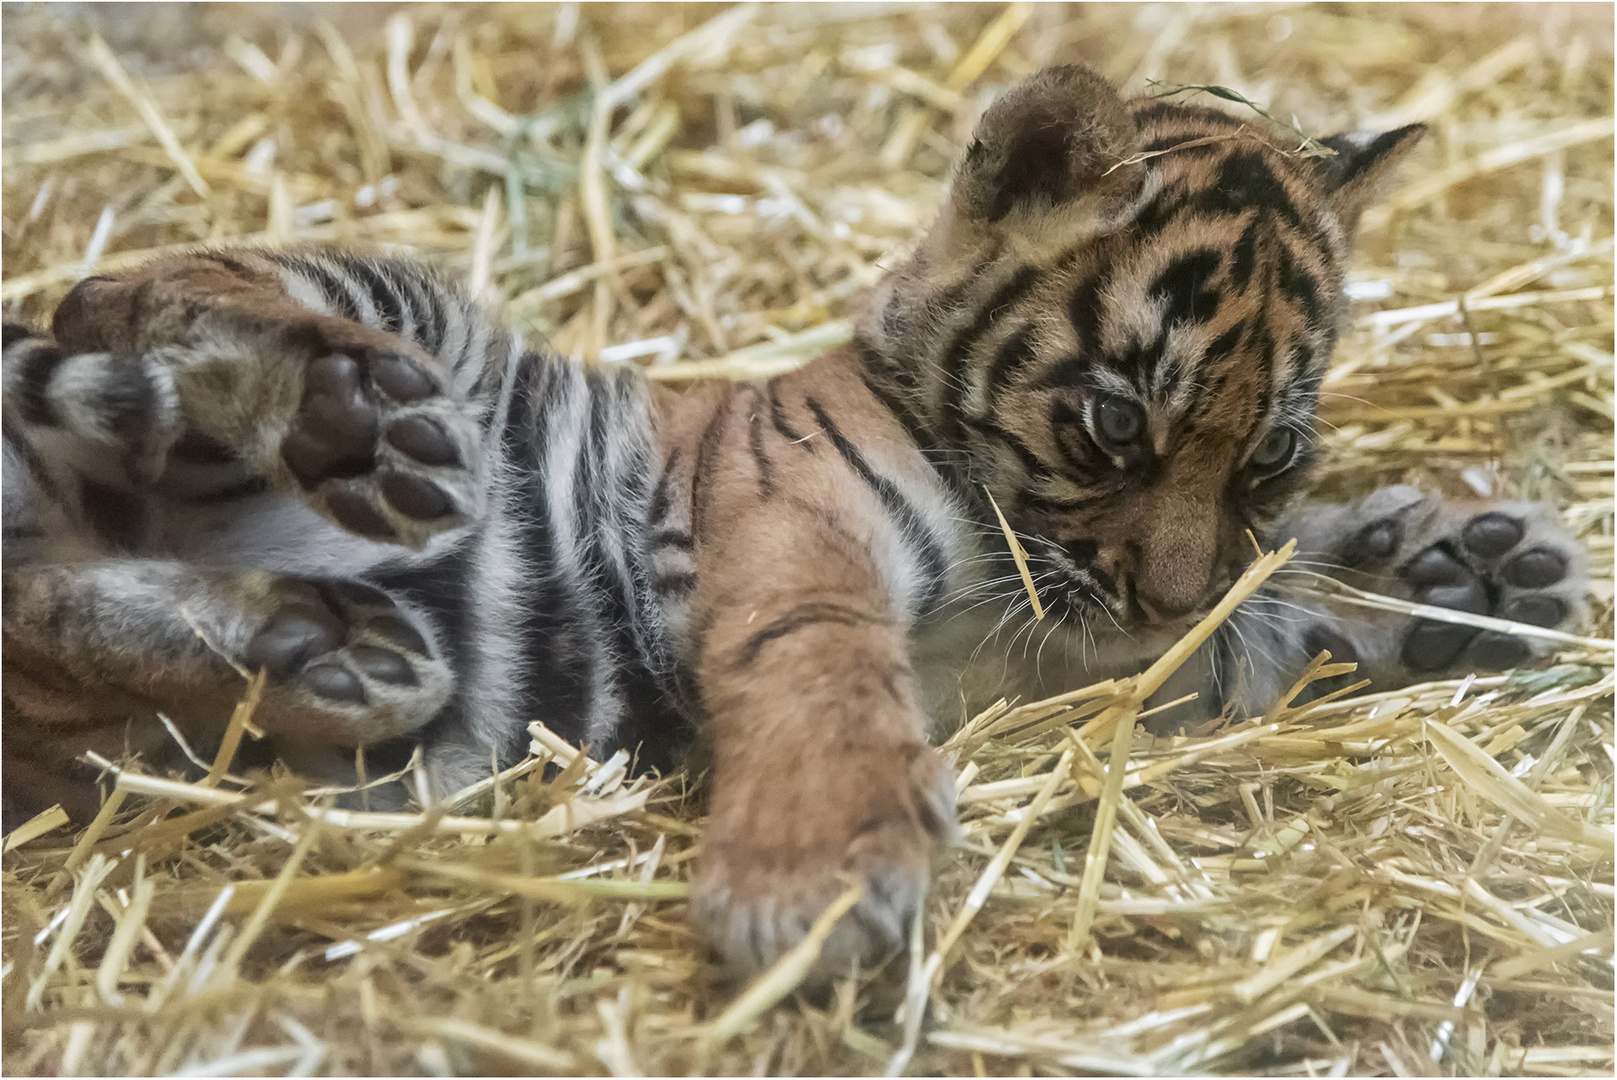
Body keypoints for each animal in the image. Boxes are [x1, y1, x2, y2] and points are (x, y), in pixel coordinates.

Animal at [1, 64, 1589, 974]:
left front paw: (1468, 571)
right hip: (400, 317)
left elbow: (1269, 612)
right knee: (125, 295)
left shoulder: (1108, 660)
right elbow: (819, 655)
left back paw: (327, 649)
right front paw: (816, 873)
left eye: (1268, 458)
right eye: (1111, 425)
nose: (1161, 596)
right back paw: (348, 420)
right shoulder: (797, 507)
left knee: (48, 630)